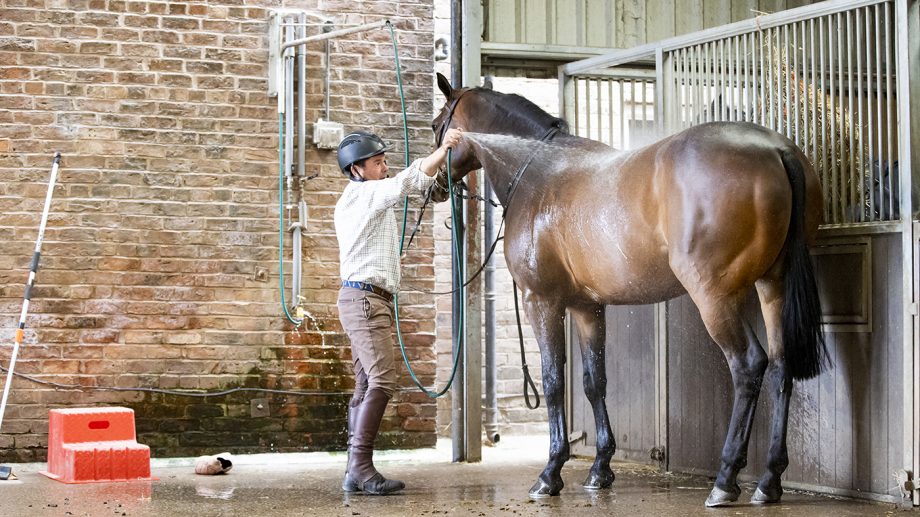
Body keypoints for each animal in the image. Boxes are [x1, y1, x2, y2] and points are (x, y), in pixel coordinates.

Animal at [431, 73, 828, 507]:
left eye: (437, 126)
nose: (434, 186)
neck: (538, 174)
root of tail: (775, 149)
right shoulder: (587, 307)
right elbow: (594, 382)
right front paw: (600, 469)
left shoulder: (543, 302)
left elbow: (553, 382)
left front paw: (550, 473)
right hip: (772, 286)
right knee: (781, 366)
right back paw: (768, 480)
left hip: (714, 297)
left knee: (748, 366)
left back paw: (725, 480)